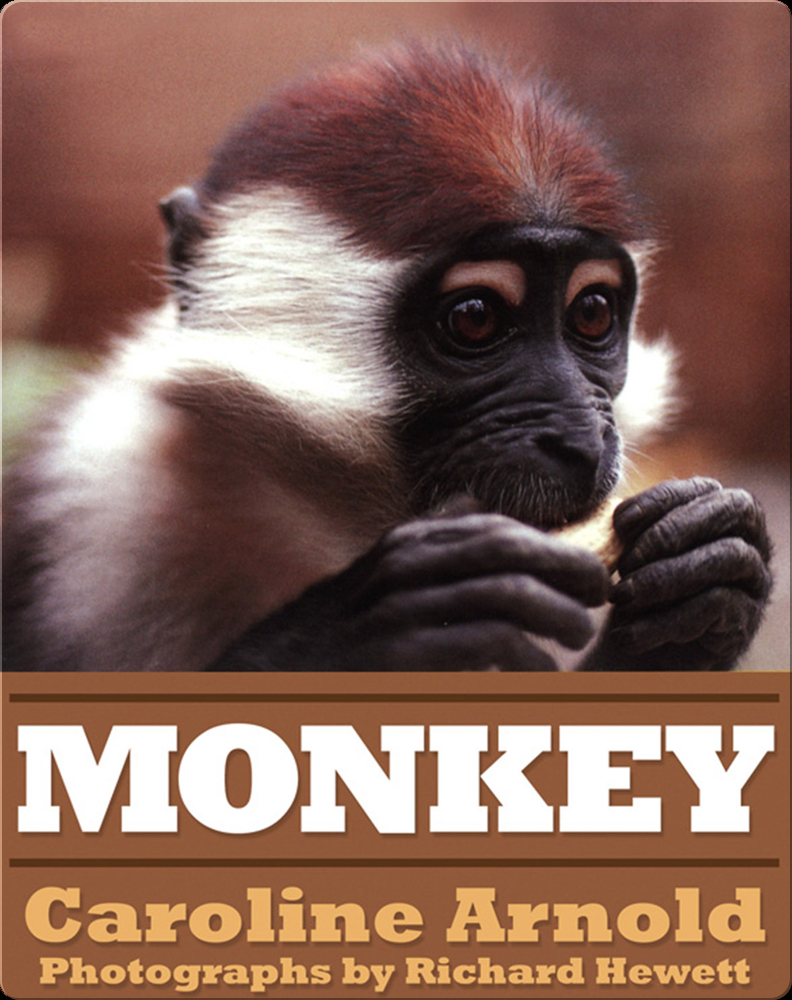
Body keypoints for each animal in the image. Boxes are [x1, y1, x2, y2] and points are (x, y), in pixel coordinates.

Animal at [2, 41, 772, 673]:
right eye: (474, 319)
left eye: (592, 313)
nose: (582, 442)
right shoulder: (91, 493)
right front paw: (359, 625)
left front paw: (697, 596)